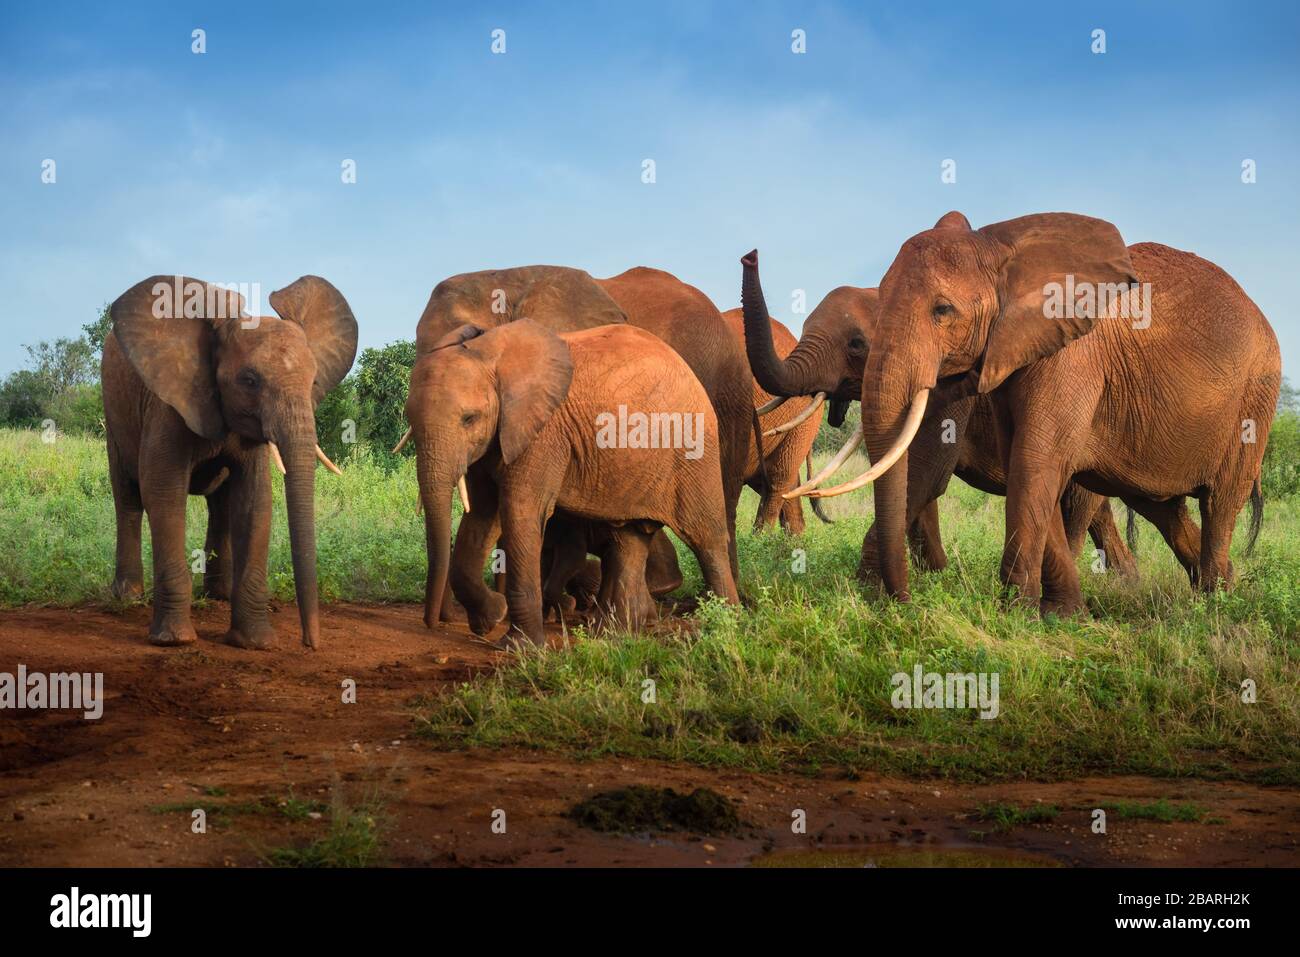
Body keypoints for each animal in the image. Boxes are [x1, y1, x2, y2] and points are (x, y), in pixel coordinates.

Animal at [102, 275, 357, 648]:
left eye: (313, 382)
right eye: (249, 381)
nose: (311, 643)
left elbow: (254, 500)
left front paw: (255, 643)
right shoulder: (167, 406)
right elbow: (163, 491)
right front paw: (175, 640)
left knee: (220, 505)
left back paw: (218, 595)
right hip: (113, 411)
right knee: (127, 497)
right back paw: (129, 596)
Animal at [737, 258, 1136, 579]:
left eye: (856, 344)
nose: (750, 256)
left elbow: (931, 470)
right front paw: (935, 574)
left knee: (1078, 506)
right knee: (1096, 509)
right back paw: (1125, 580)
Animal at [779, 210, 1280, 612]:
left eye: (943, 310)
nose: (901, 601)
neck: (1000, 248)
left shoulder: (1072, 357)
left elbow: (1030, 462)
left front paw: (1018, 612)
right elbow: (1023, 463)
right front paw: (1063, 612)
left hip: (1255, 401)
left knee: (1219, 503)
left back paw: (1212, 608)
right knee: (1163, 509)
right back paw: (1222, 589)